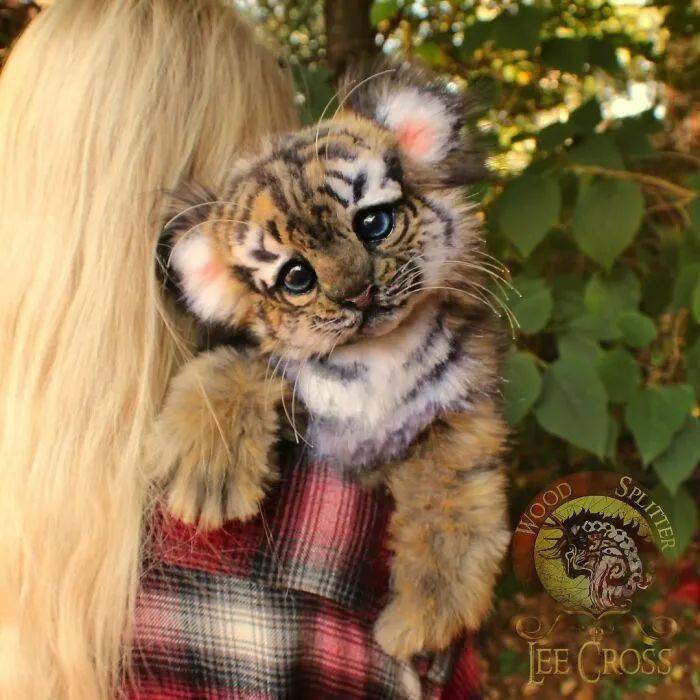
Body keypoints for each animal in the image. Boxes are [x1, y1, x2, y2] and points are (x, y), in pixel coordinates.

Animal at [151, 64, 511, 661]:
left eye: (374, 223)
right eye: (297, 276)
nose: (358, 294)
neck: (380, 356)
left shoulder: (458, 413)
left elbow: (449, 507)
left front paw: (424, 616)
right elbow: (235, 366)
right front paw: (208, 474)